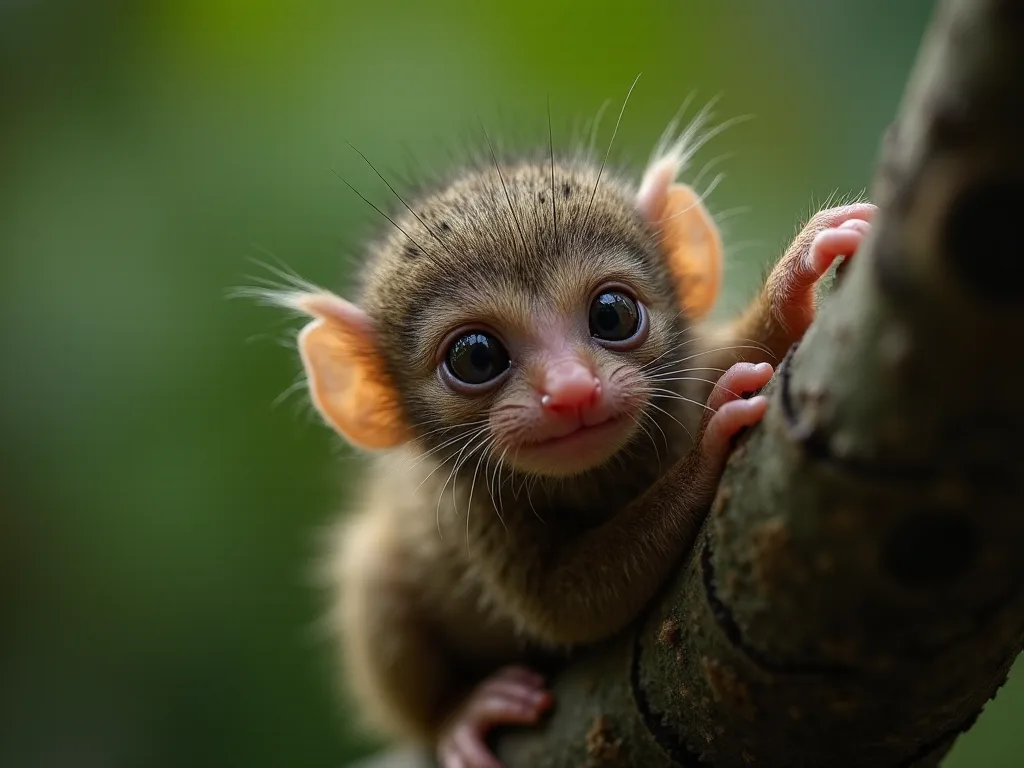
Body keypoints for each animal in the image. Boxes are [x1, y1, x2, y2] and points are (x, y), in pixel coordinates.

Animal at [261, 117, 875, 767]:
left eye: (611, 314)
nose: (572, 390)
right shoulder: (474, 516)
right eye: (476, 357)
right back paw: (457, 718)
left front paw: (797, 274)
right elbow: (564, 609)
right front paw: (707, 447)